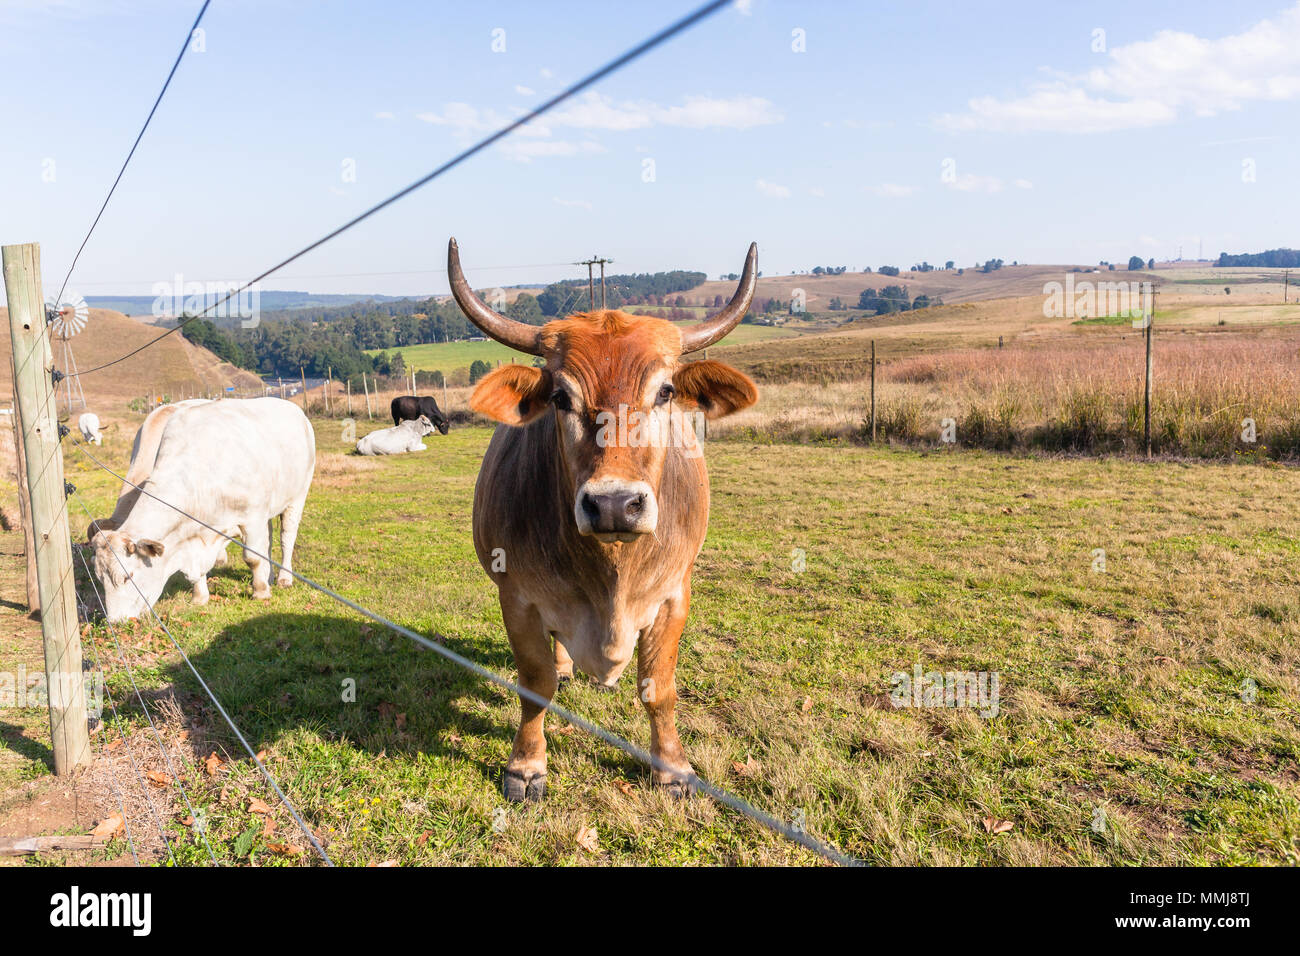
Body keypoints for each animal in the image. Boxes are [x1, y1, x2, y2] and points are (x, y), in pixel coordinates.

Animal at [90, 398, 315, 622]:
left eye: (128, 577)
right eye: (100, 580)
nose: (116, 621)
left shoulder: (252, 517)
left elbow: (252, 558)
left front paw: (260, 592)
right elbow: (198, 573)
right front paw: (199, 597)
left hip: (297, 497)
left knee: (286, 538)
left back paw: (284, 577)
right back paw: (269, 576)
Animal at [448, 237, 759, 802]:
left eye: (664, 392)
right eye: (560, 397)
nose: (614, 504)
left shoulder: (673, 594)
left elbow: (659, 688)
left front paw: (671, 767)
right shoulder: (517, 597)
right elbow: (535, 684)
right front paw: (526, 766)